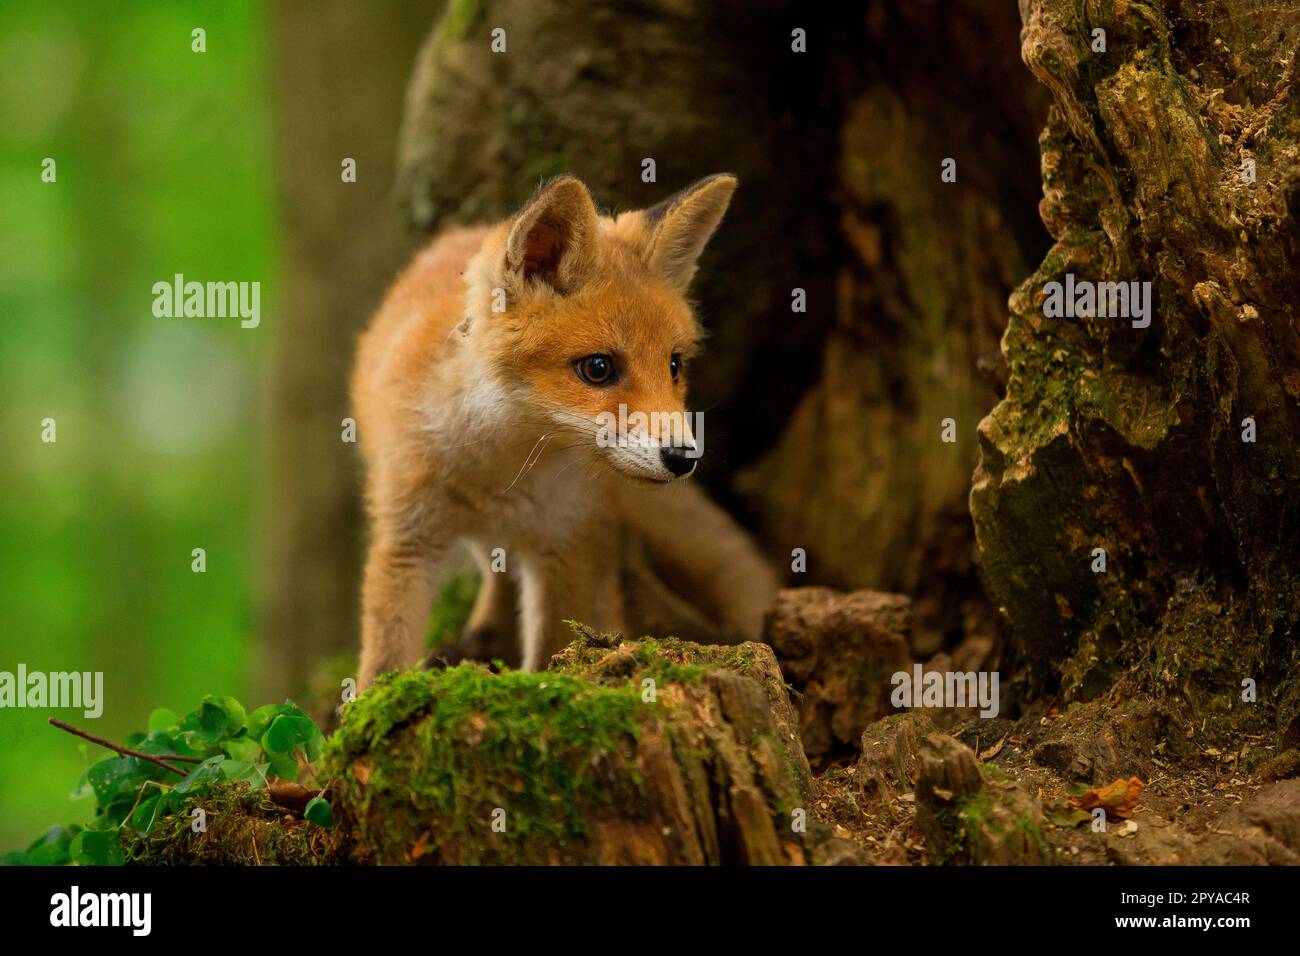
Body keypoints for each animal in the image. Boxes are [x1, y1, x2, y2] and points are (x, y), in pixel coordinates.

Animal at [351, 173, 778, 688]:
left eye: (674, 365)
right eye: (597, 368)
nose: (683, 457)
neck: (504, 462)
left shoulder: (567, 539)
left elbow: (552, 648)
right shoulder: (406, 536)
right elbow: (384, 658)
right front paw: (369, 706)